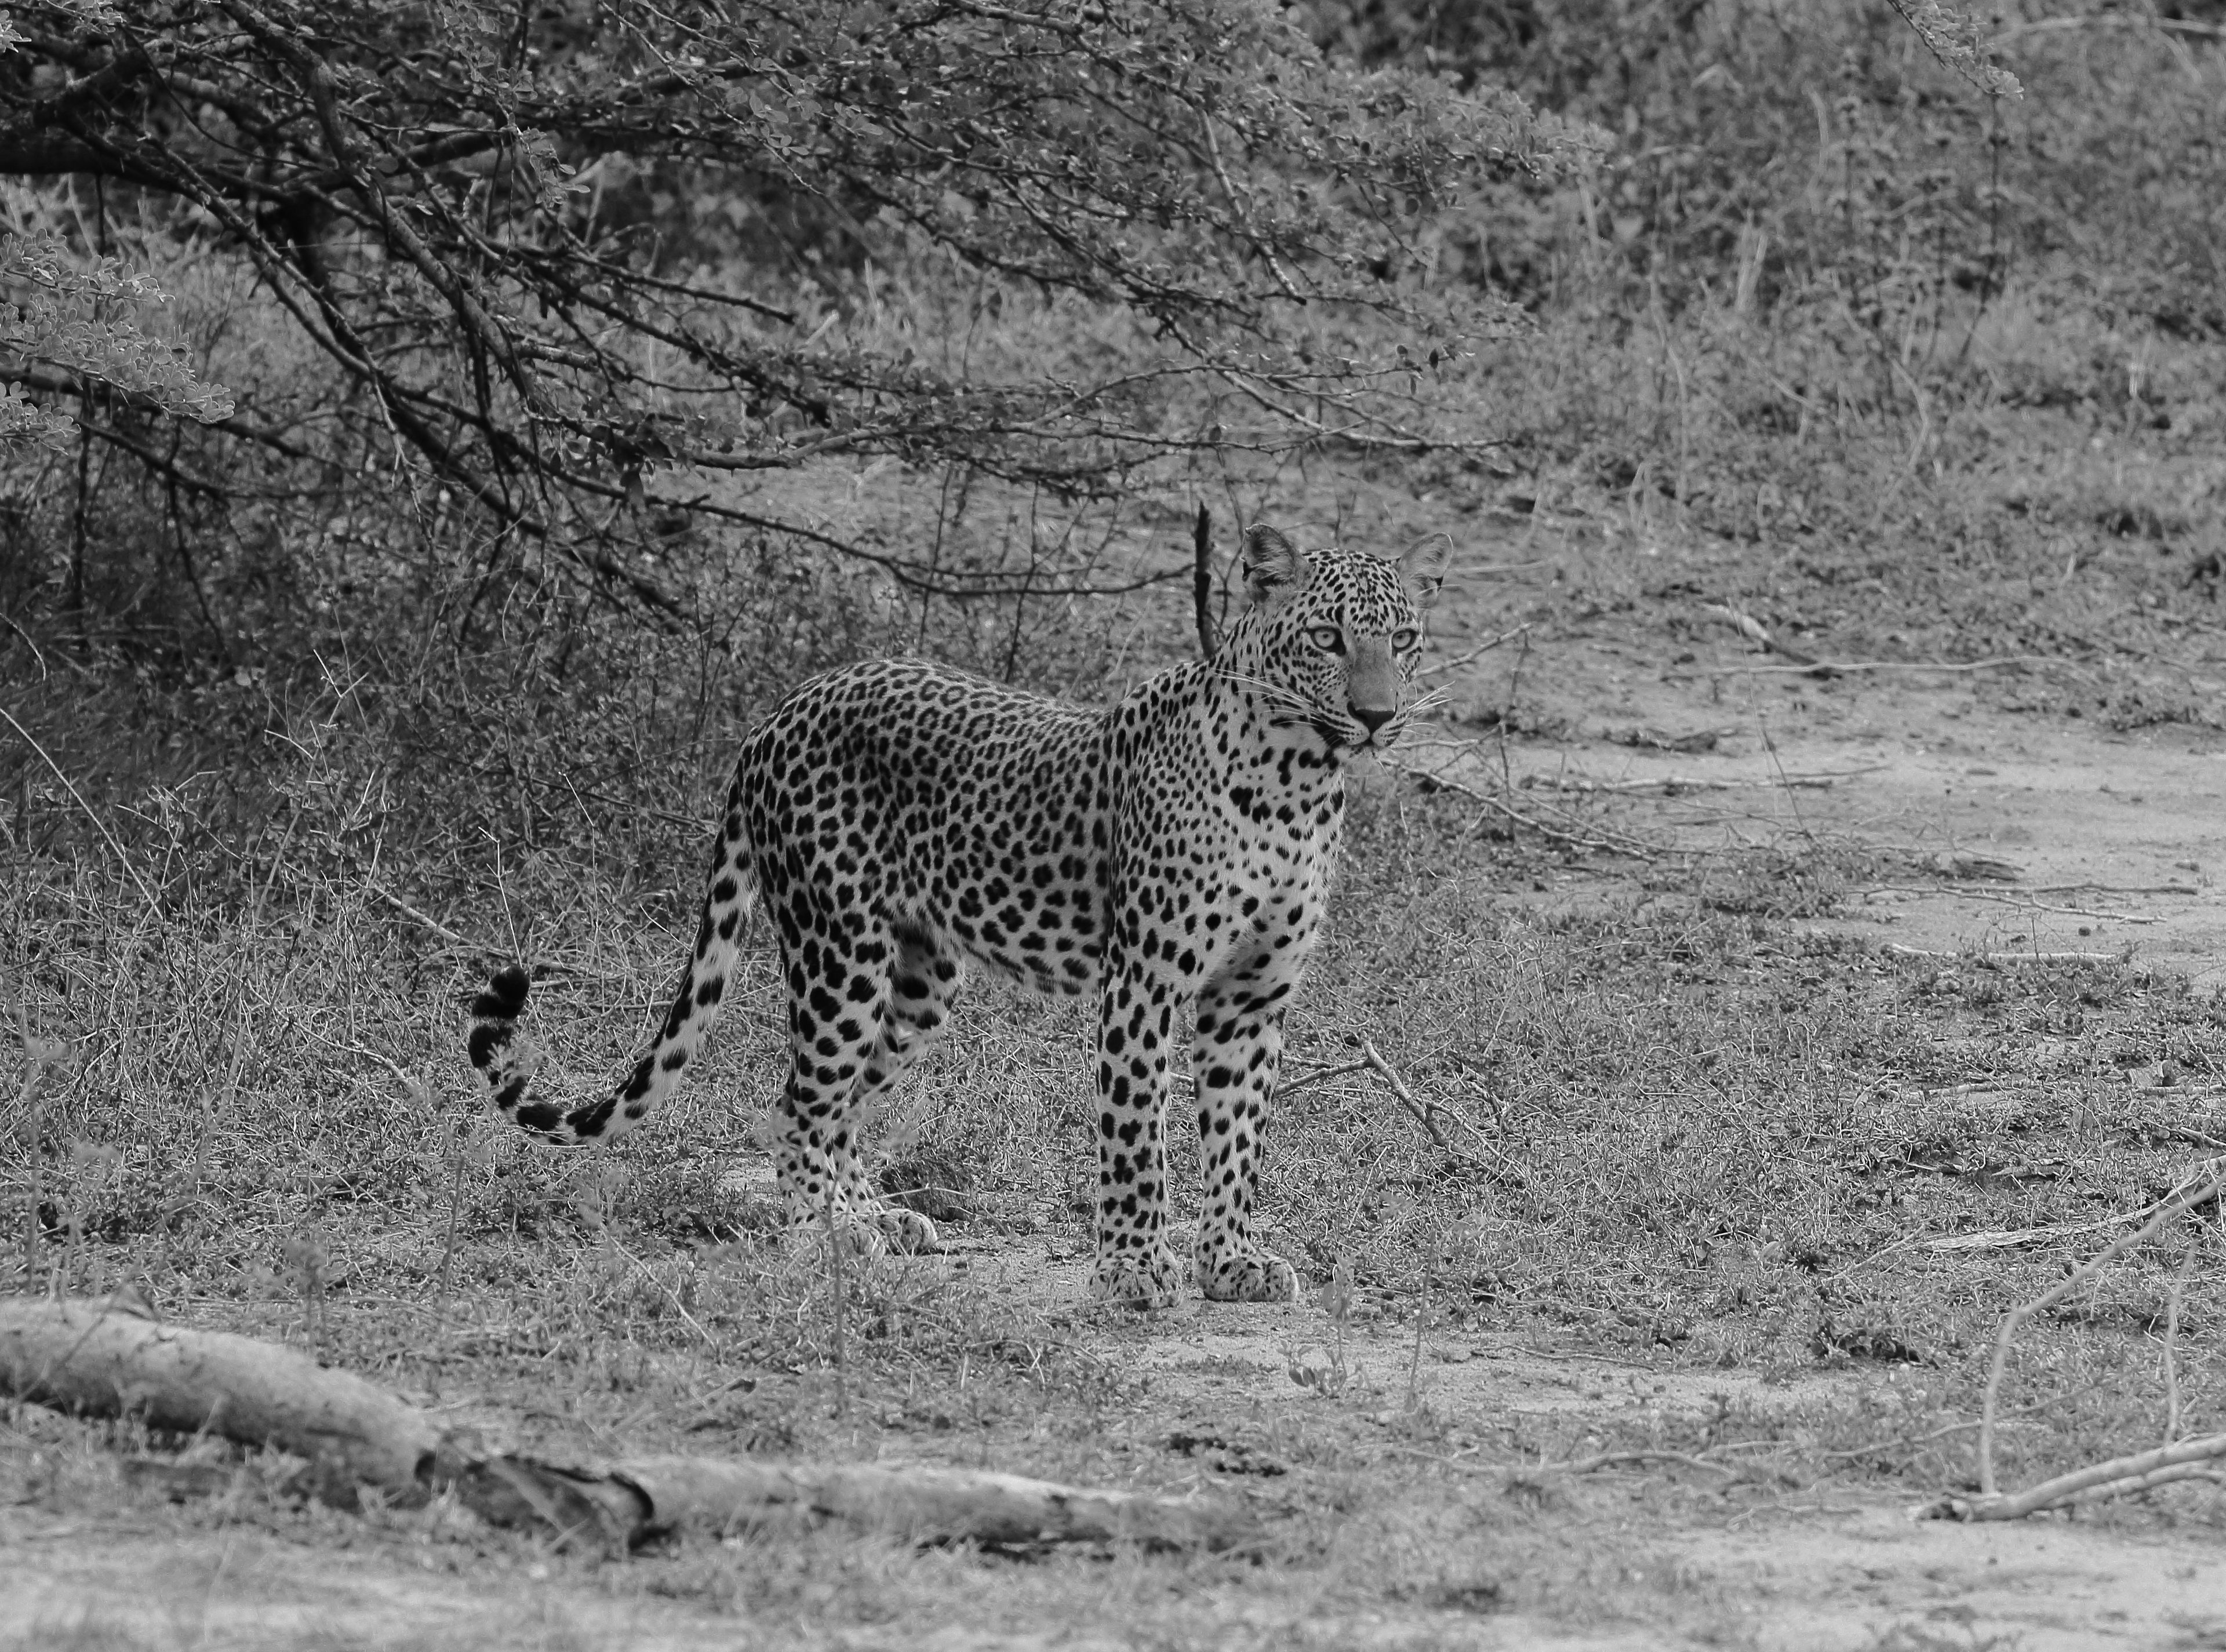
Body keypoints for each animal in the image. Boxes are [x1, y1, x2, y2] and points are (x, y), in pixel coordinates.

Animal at [467, 524, 1443, 1307]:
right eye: (1327, 637)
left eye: (1402, 638)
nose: (1376, 715)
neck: (1295, 785)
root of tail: (783, 708)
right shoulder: (1145, 985)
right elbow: (1137, 1140)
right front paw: (1133, 1268)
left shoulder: (1250, 999)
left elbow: (1238, 1142)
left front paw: (1233, 1260)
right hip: (839, 954)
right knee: (796, 1105)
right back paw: (830, 1232)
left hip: (919, 981)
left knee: (840, 1104)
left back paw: (877, 1216)